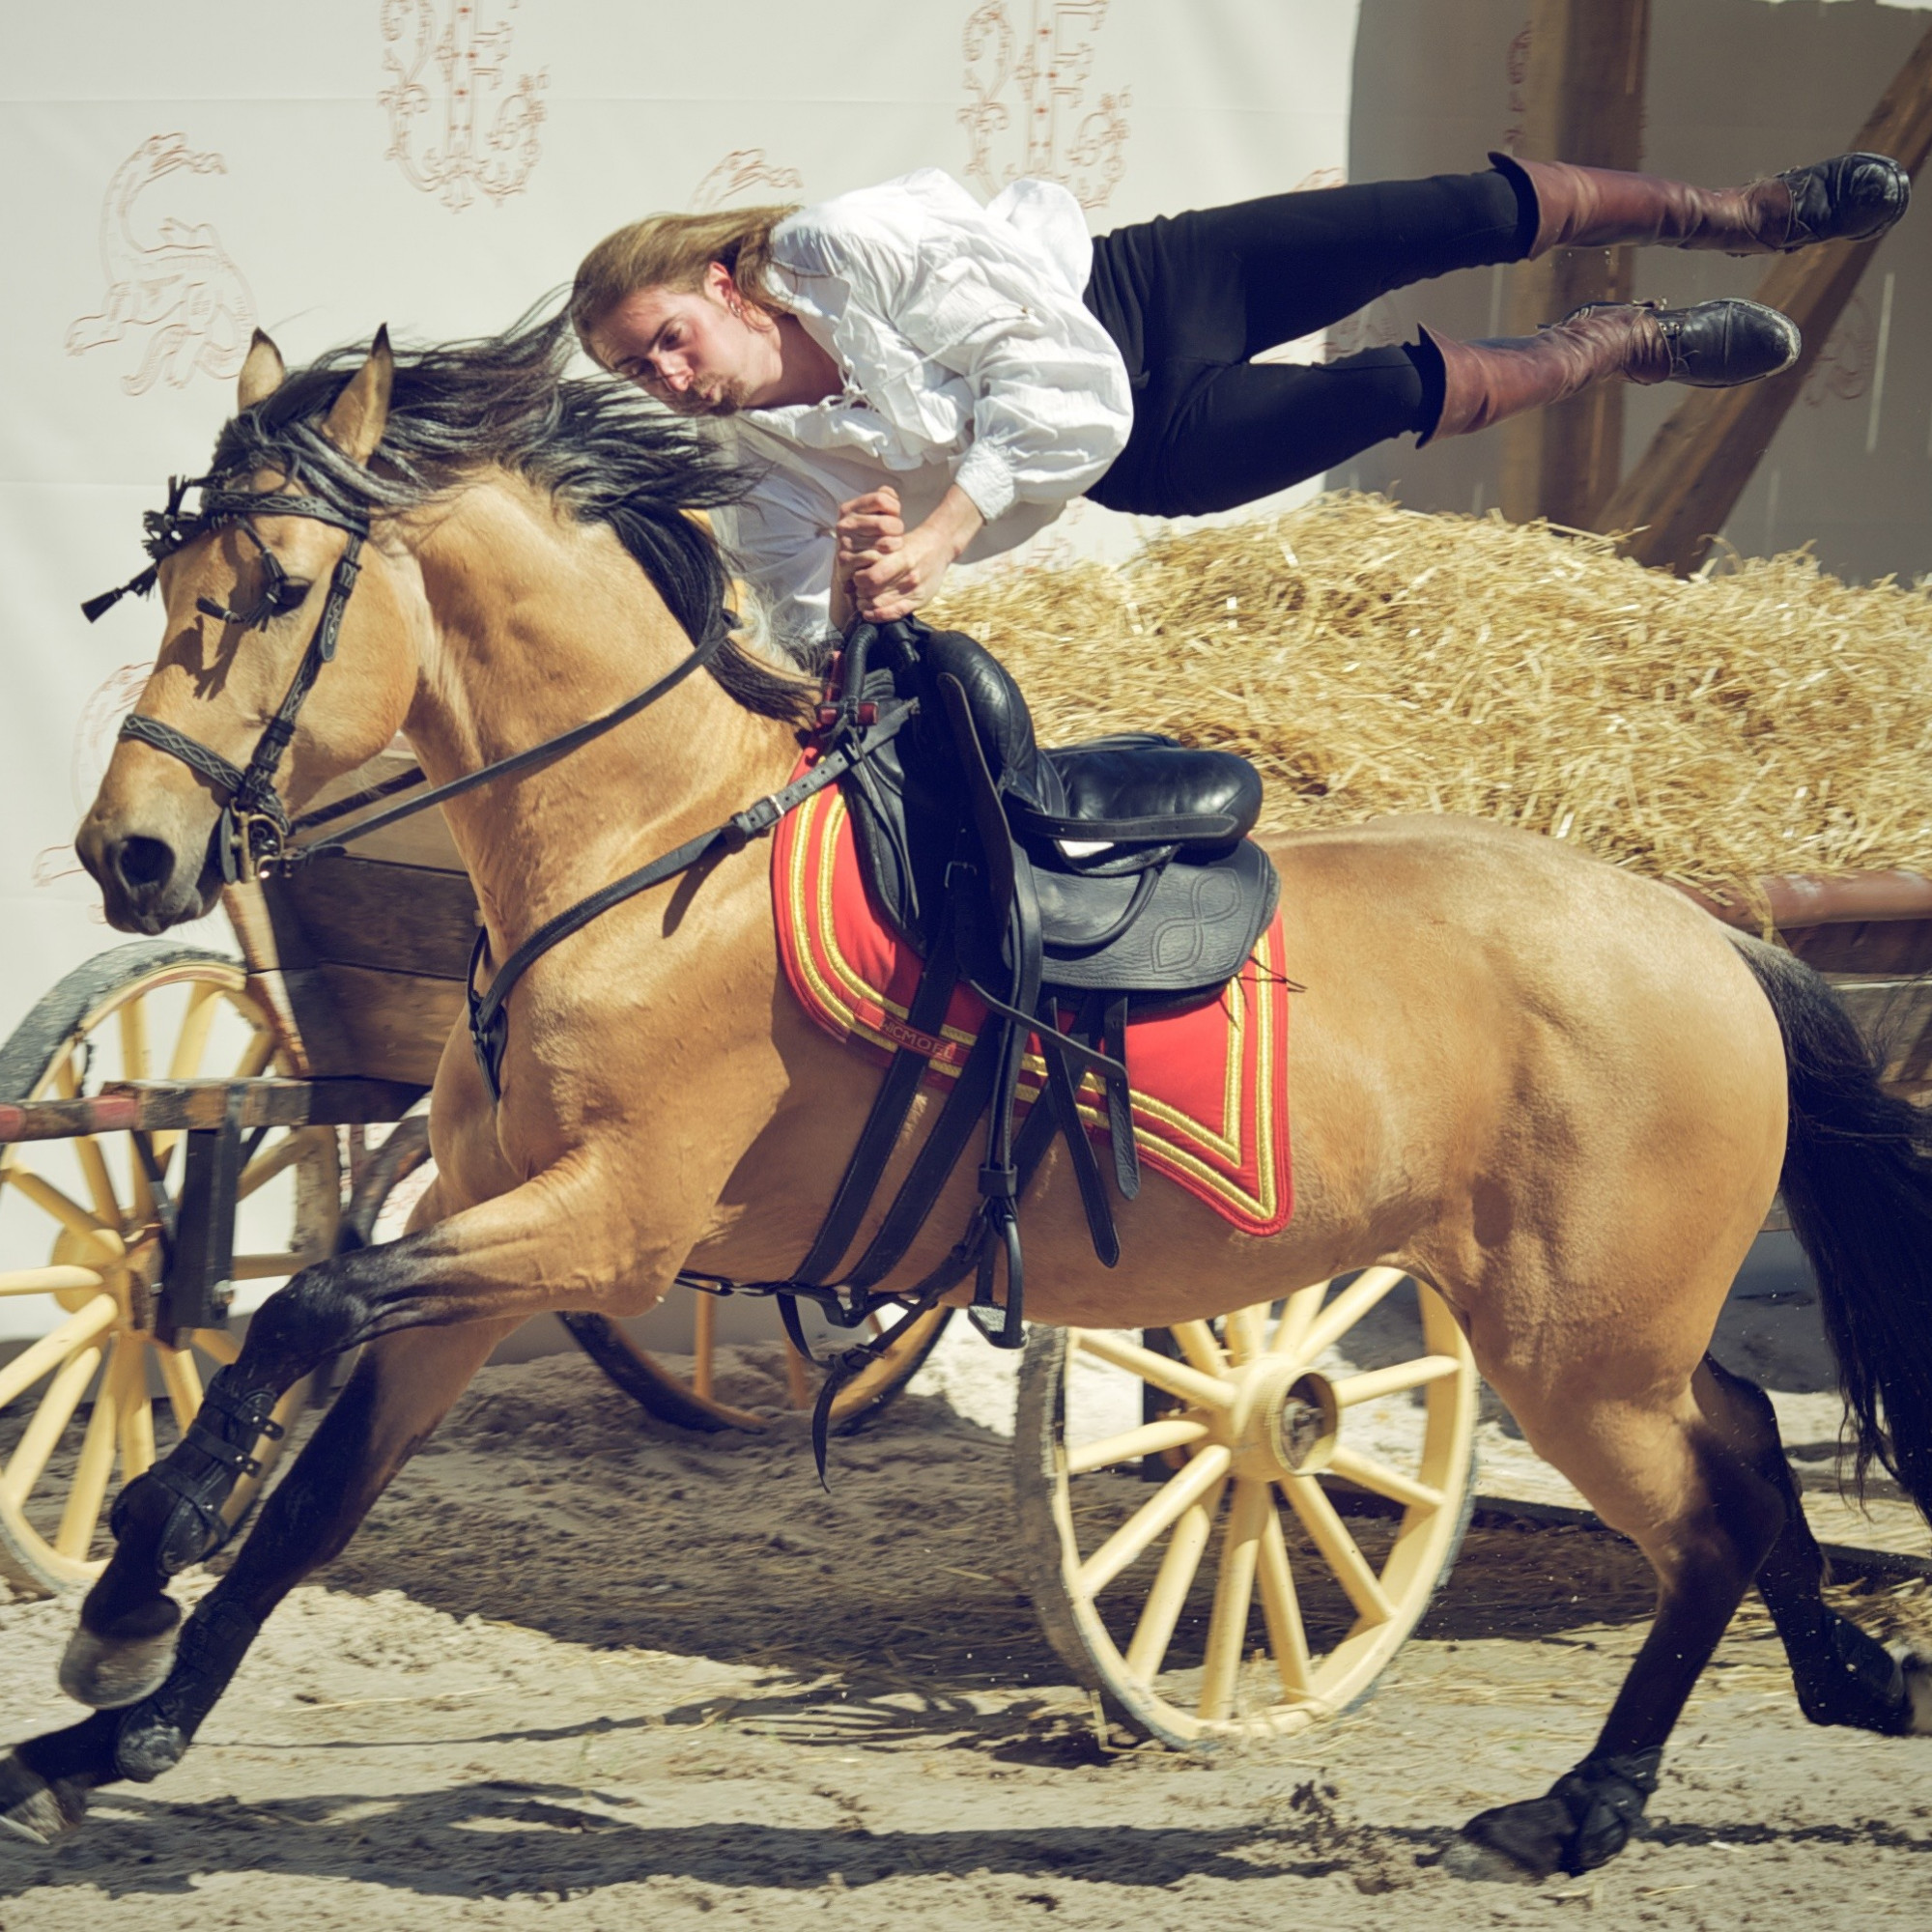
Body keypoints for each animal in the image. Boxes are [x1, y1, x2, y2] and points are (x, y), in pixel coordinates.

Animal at [7, 315, 1932, 1879]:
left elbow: (298, 1312)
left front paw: (133, 1574)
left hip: (1574, 1346)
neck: (640, 853)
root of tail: (1705, 933)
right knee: (1744, 1458)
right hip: (1597, 1331)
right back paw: (1834, 1683)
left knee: (1714, 1515)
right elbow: (317, 1491)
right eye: (165, 589)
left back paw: (1592, 1804)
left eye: (269, 590)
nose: (130, 855)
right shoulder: (486, 1255)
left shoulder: (601, 1234)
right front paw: (117, 1718)